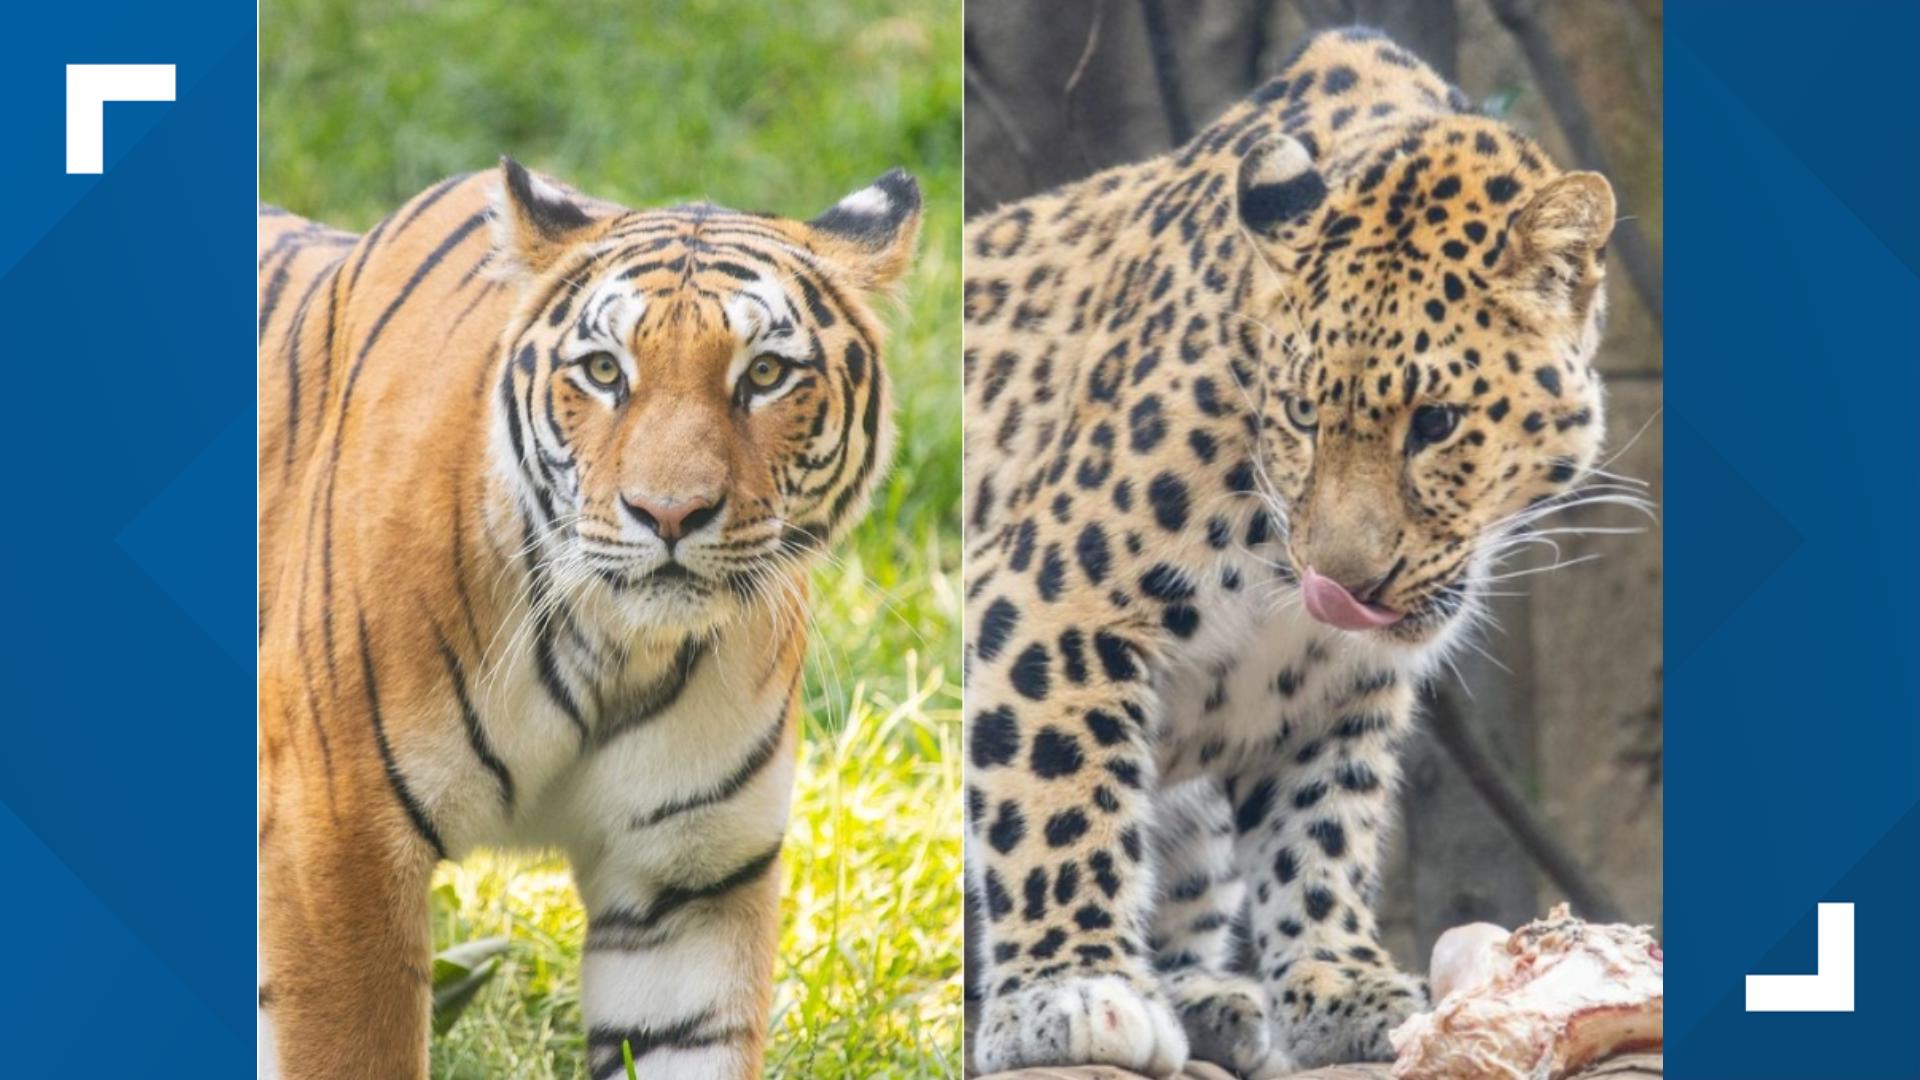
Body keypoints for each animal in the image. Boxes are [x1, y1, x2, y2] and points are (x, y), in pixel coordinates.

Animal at [256, 157, 919, 1079]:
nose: (670, 513)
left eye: (764, 375)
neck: (617, 648)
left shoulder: (688, 876)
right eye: (606, 372)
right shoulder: (336, 833)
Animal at [962, 27, 1619, 1078]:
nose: (1342, 585)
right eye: (1305, 415)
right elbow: (1057, 790)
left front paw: (1338, 986)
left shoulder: (1336, 685)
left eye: (1435, 422)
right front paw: (1071, 991)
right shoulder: (1047, 597)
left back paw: (1213, 1001)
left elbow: (1320, 829)